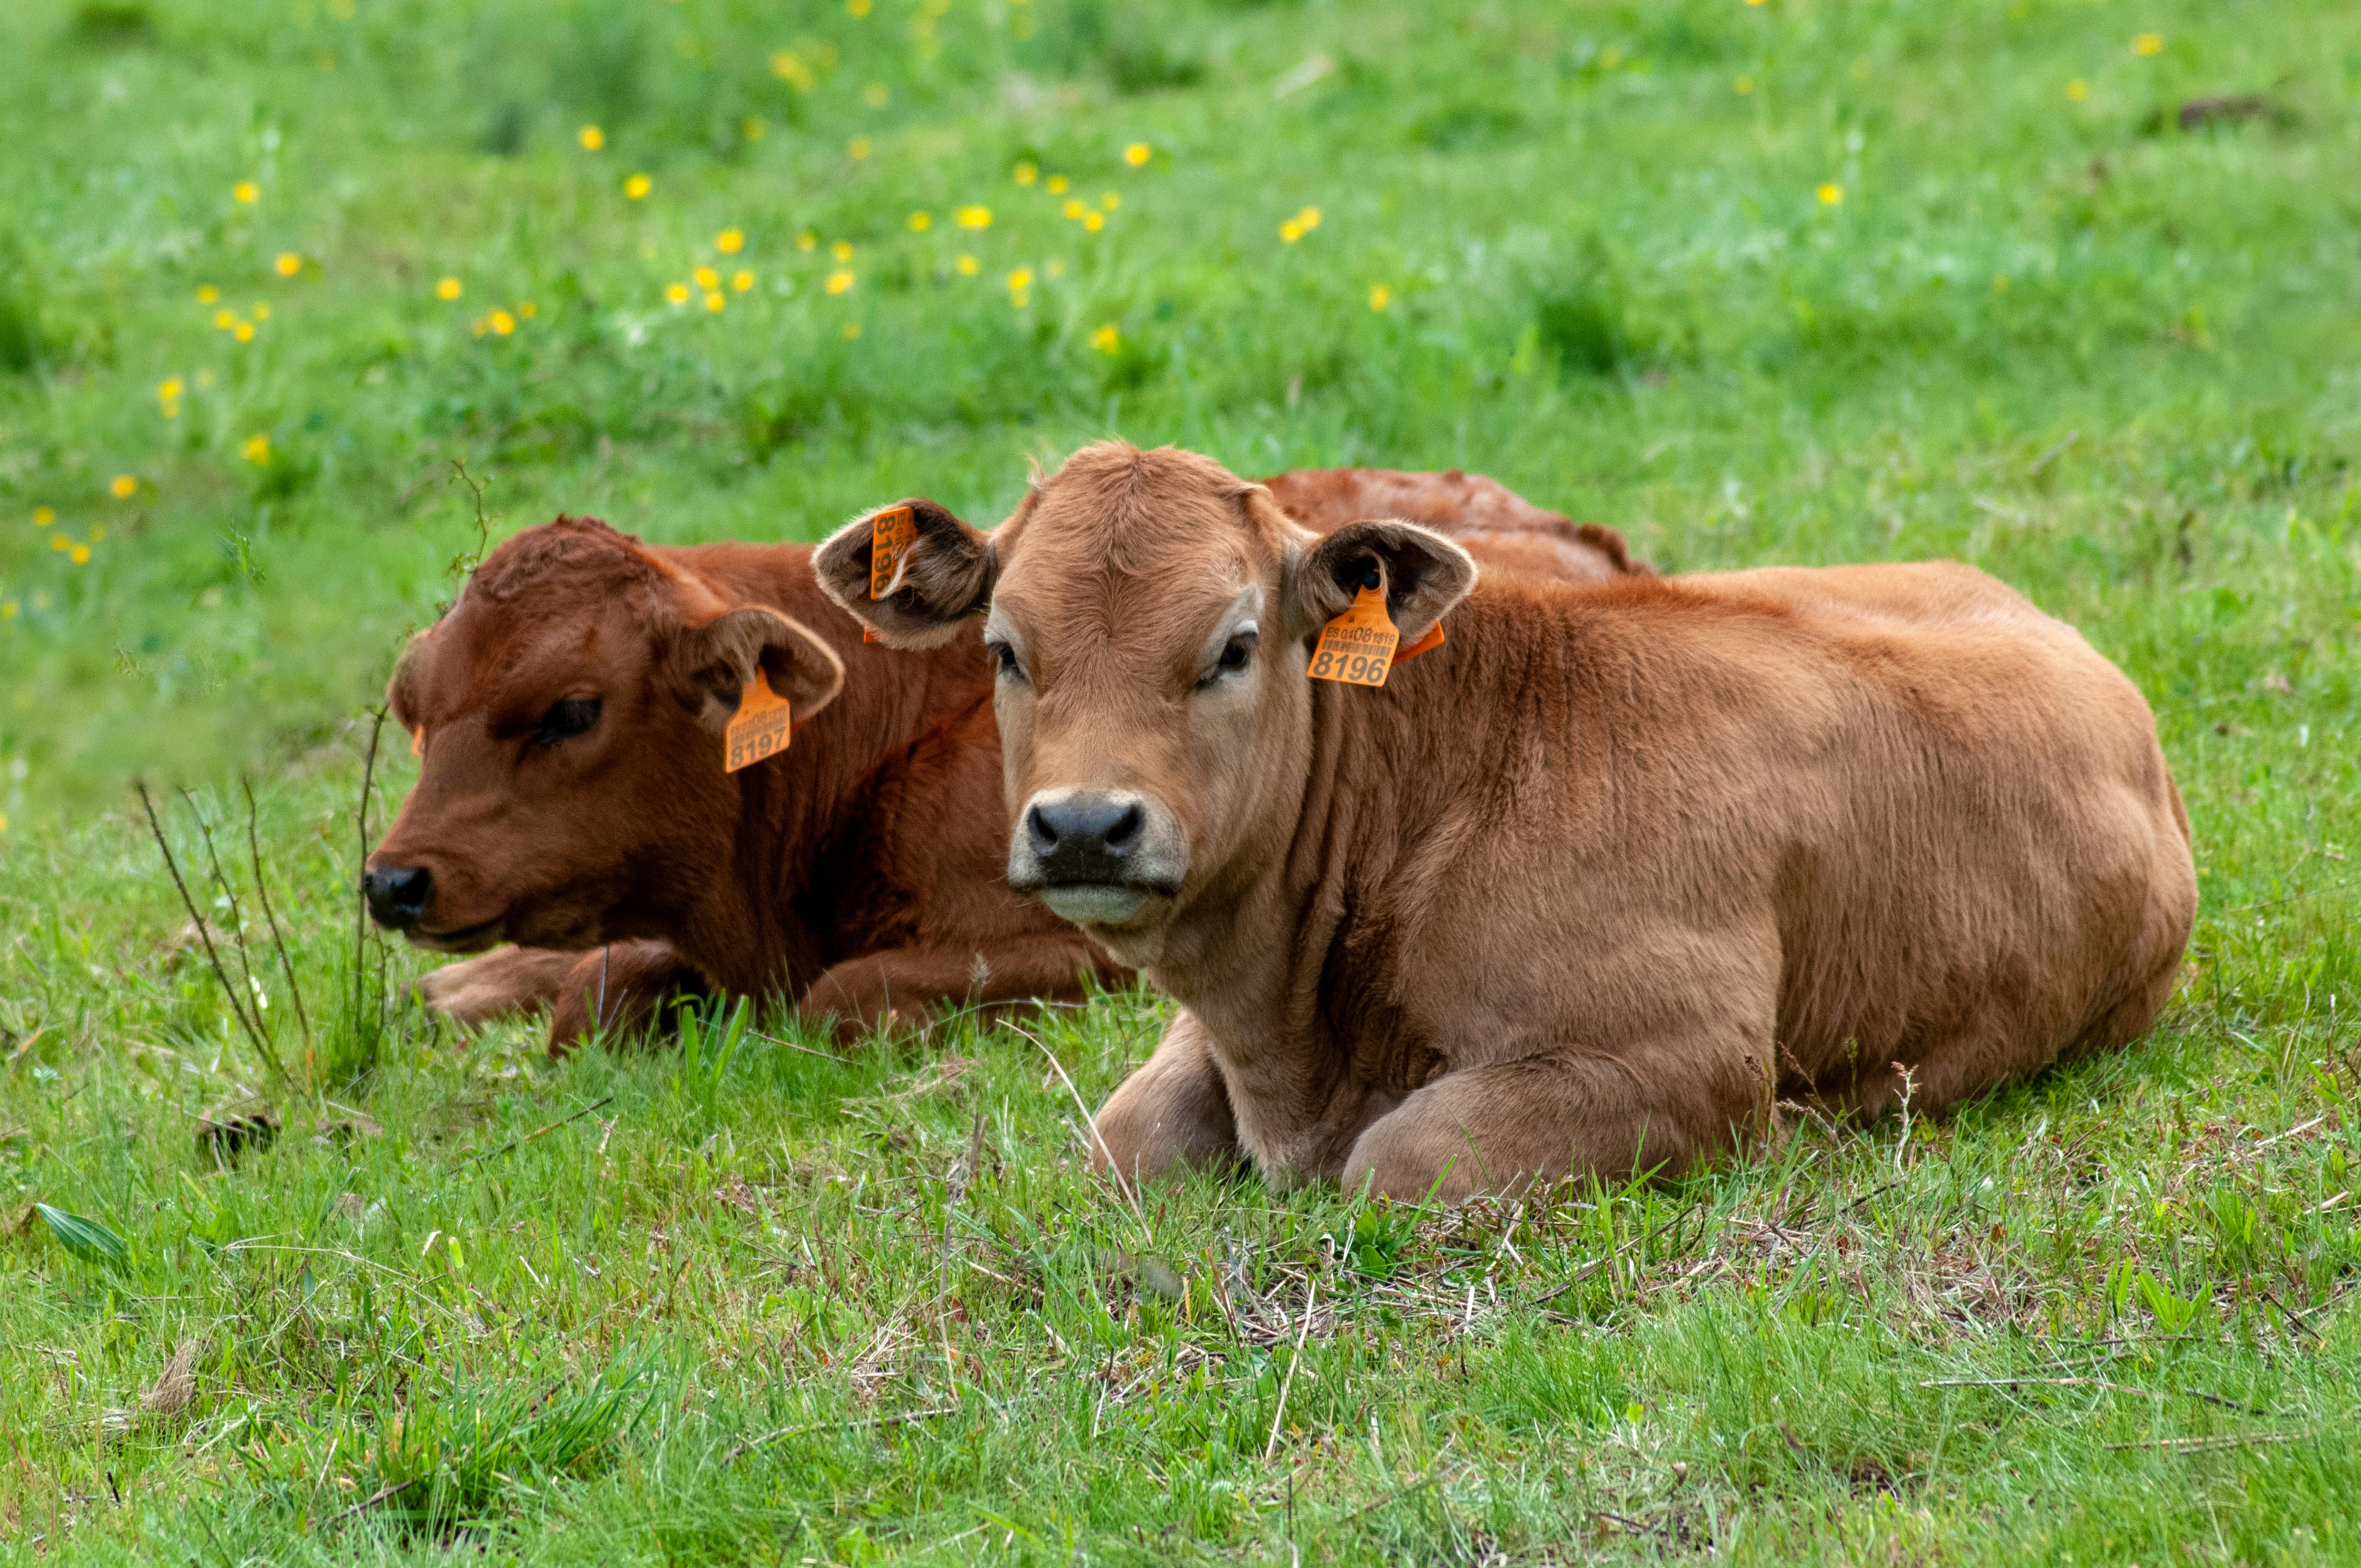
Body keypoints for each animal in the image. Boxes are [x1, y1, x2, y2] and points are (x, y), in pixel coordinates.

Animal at [812, 441, 2197, 1202]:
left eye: (1233, 644)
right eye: (1004, 649)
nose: (1086, 828)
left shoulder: (1676, 1056)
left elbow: (1395, 1161)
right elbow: (1126, 1142)